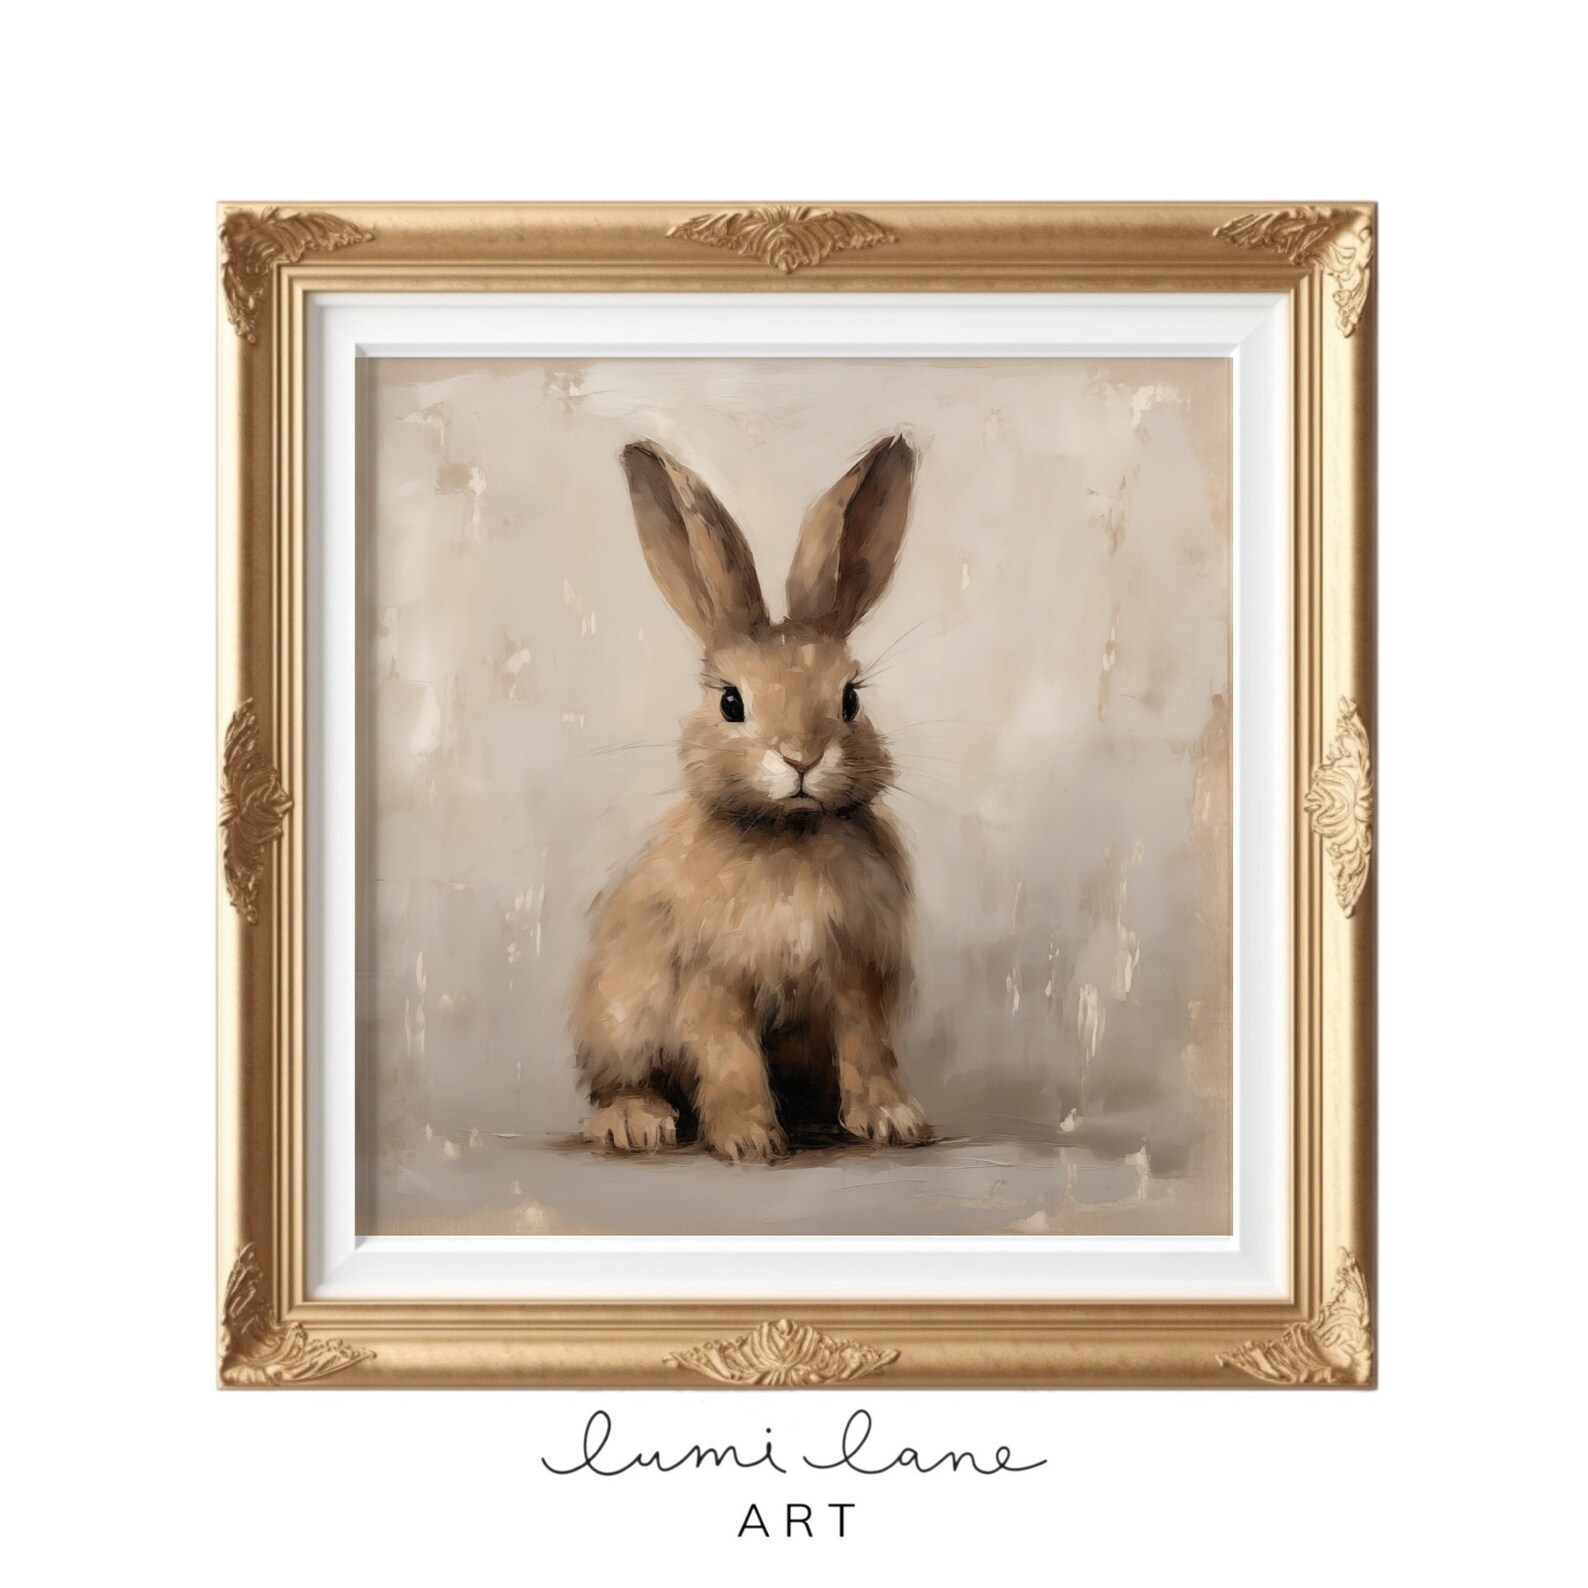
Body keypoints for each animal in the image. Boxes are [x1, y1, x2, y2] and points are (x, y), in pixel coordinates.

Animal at [572, 434, 933, 1163]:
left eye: (850, 699)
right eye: (731, 703)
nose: (801, 757)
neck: (786, 833)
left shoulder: (858, 977)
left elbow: (868, 1050)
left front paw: (892, 1121)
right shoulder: (712, 980)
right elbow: (730, 1056)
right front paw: (748, 1140)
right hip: (618, 1015)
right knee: (618, 1083)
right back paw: (635, 1123)